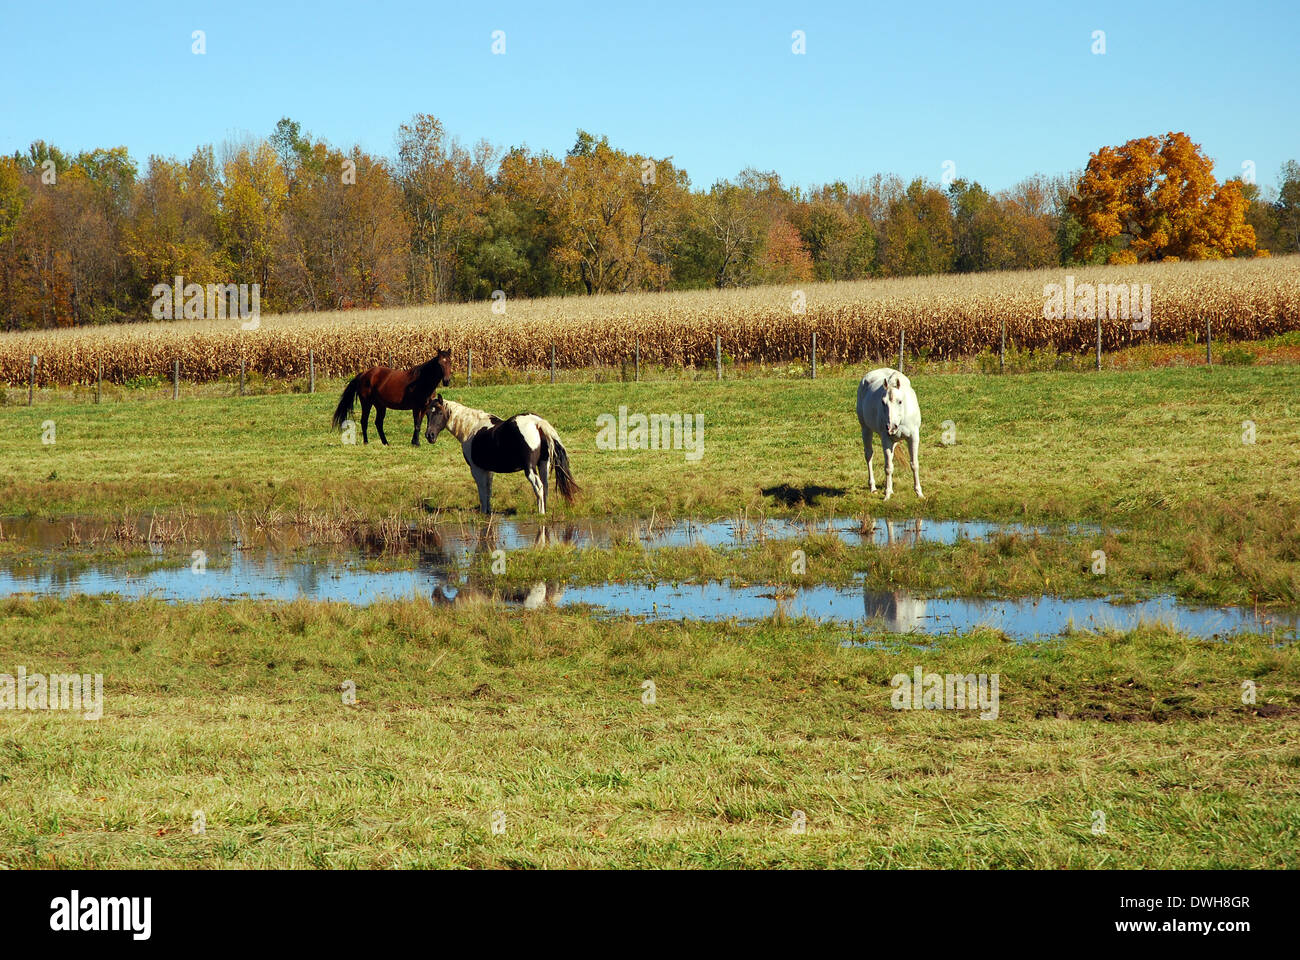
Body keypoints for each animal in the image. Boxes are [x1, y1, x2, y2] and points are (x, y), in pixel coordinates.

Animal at [423, 394, 578, 514]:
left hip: (530, 468)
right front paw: (488, 512)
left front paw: (483, 513)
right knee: (545, 487)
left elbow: (482, 492)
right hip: (543, 464)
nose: (429, 436)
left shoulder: (477, 469)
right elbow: (488, 491)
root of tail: (537, 423)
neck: (471, 429)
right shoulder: (488, 470)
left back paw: (540, 514)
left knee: (539, 487)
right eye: (427, 414)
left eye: (439, 413)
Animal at [856, 367, 924, 500]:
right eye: (883, 402)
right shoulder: (886, 439)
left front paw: (919, 493)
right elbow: (888, 467)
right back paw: (873, 488)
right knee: (869, 455)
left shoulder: (913, 437)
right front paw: (887, 494)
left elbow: (914, 464)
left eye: (900, 401)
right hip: (865, 429)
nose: (891, 426)